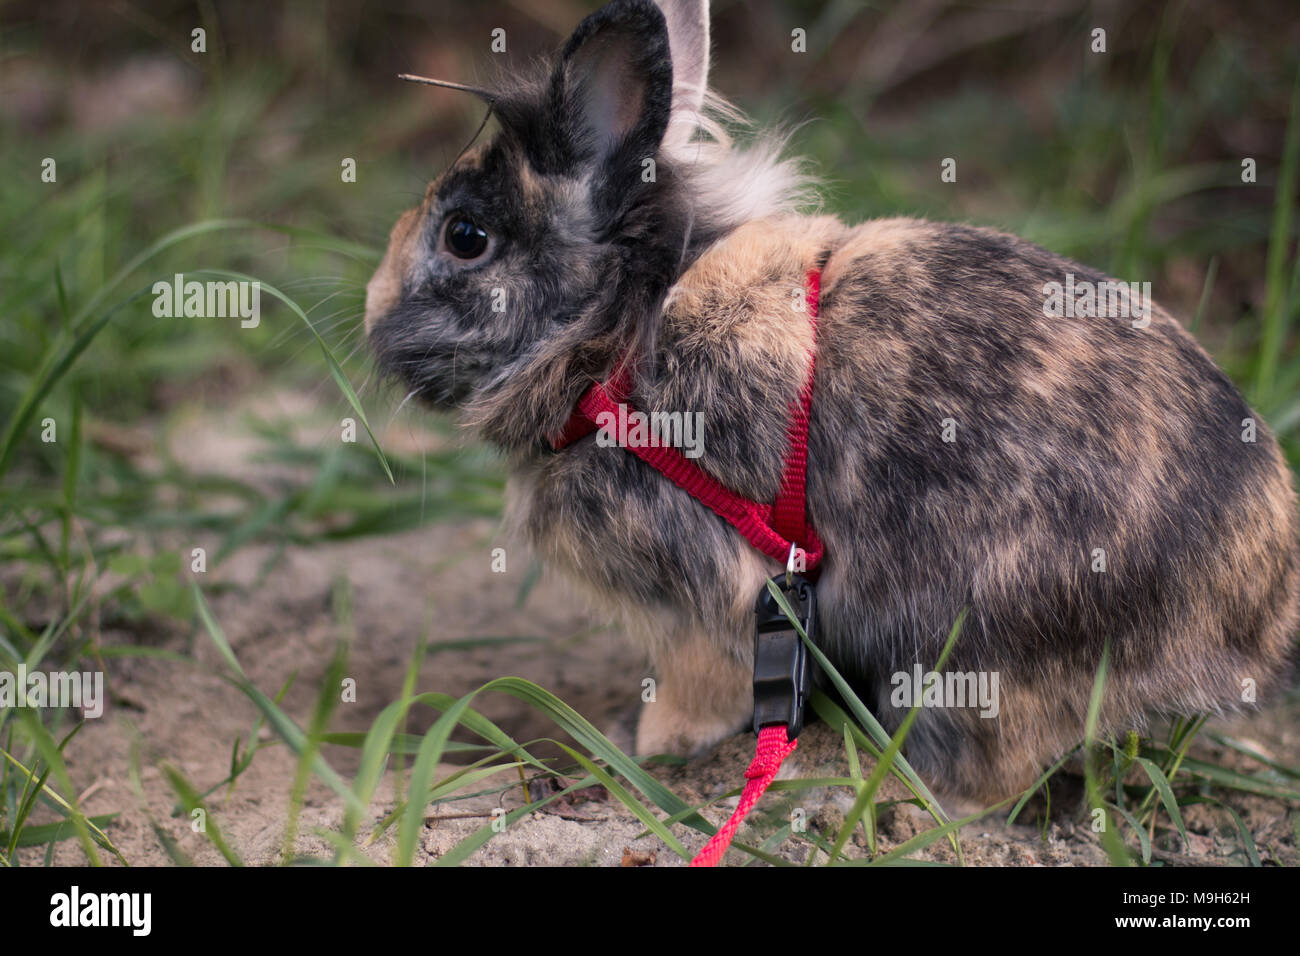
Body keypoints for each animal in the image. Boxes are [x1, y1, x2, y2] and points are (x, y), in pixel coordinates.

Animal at [365, 0, 1300, 803]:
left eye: (466, 238)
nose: (371, 320)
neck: (616, 337)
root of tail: (1253, 612)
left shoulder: (701, 594)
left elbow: (697, 685)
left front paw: (656, 744)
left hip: (974, 655)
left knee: (991, 776)